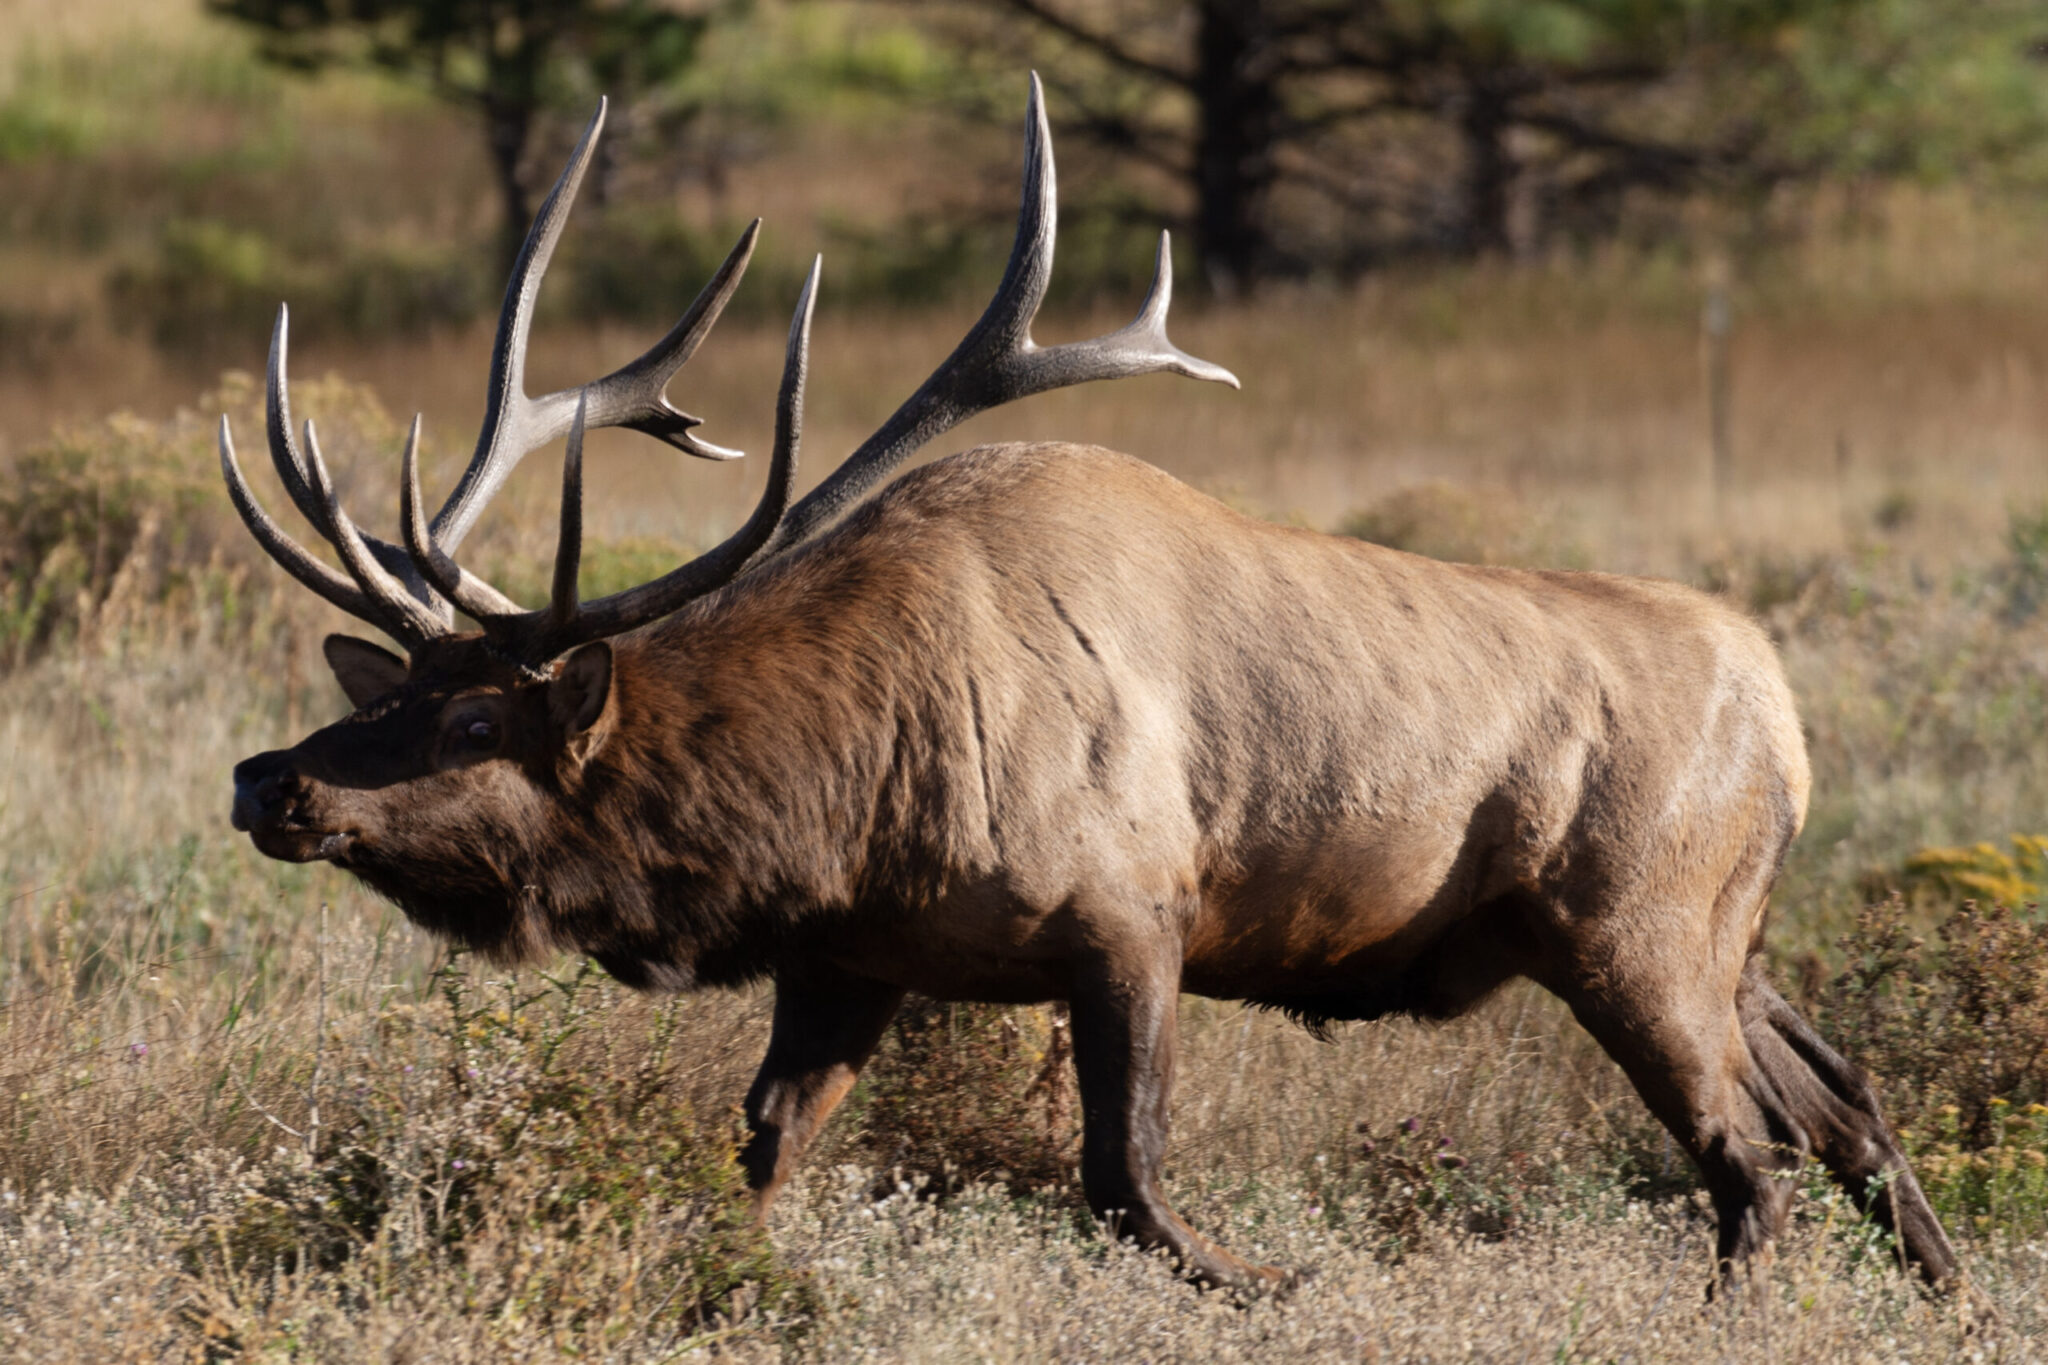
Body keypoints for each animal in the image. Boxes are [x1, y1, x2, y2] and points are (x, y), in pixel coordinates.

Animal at [222, 77, 1956, 1293]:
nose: (266, 777)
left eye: (469, 717)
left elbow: (1129, 1184)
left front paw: (1279, 1281)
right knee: (1850, 1110)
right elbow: (761, 1163)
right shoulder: (847, 954)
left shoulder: (1134, 913)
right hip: (1712, 940)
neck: (842, 793)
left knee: (1748, 1169)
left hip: (1633, 933)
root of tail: (1787, 711)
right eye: (382, 692)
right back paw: (1953, 1297)